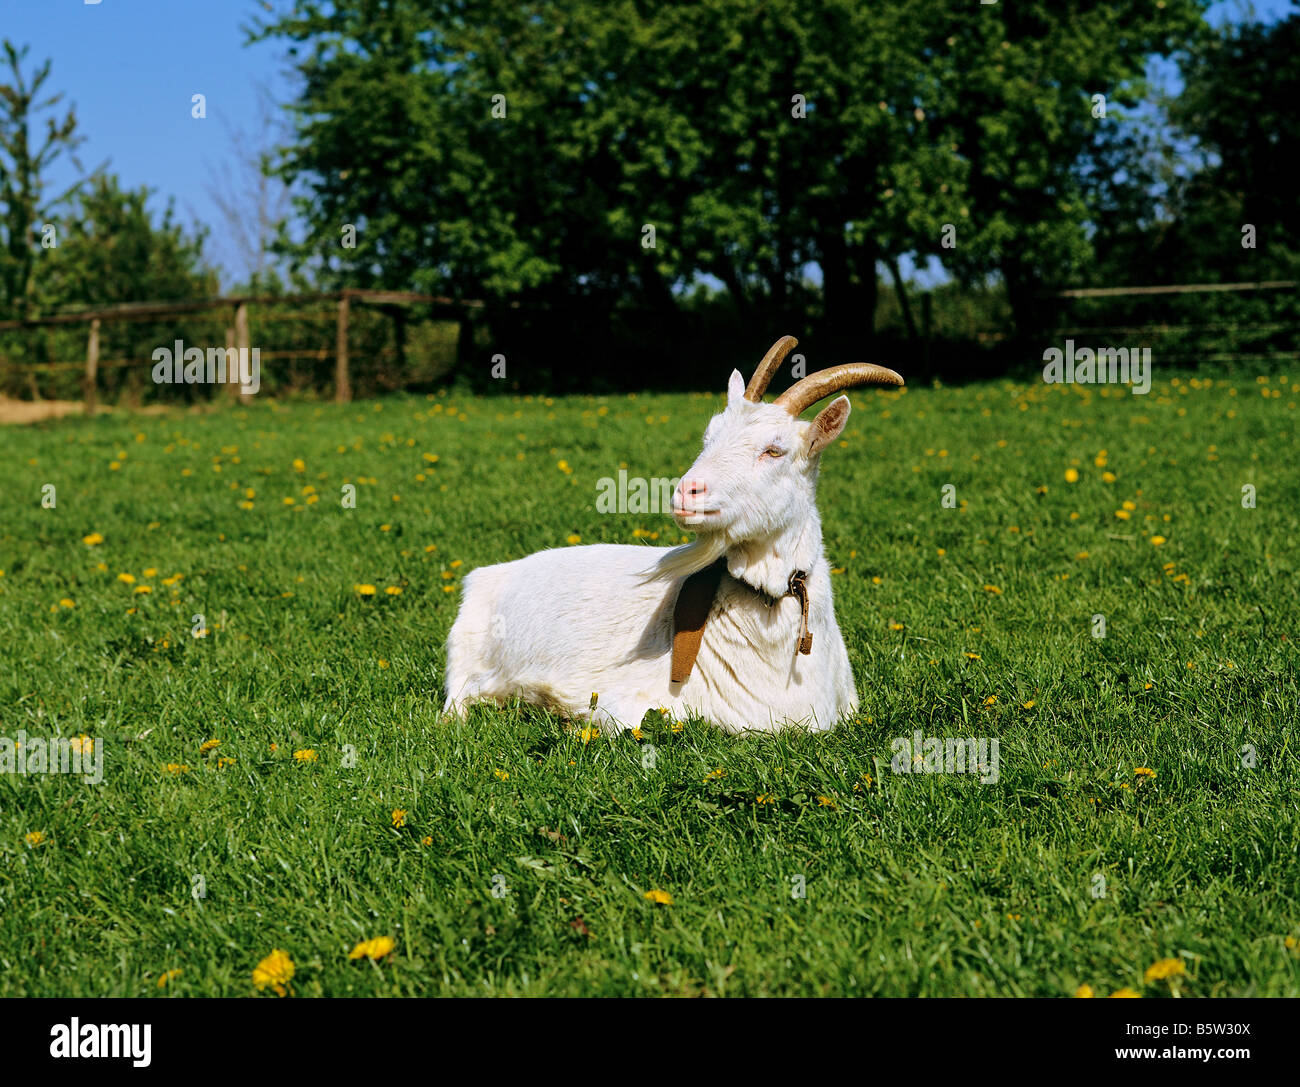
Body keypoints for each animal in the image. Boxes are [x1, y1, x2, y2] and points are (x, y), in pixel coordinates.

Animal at [442, 337, 903, 733]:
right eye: (708, 436)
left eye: (774, 450)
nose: (686, 491)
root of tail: (490, 574)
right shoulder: (625, 702)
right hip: (466, 652)